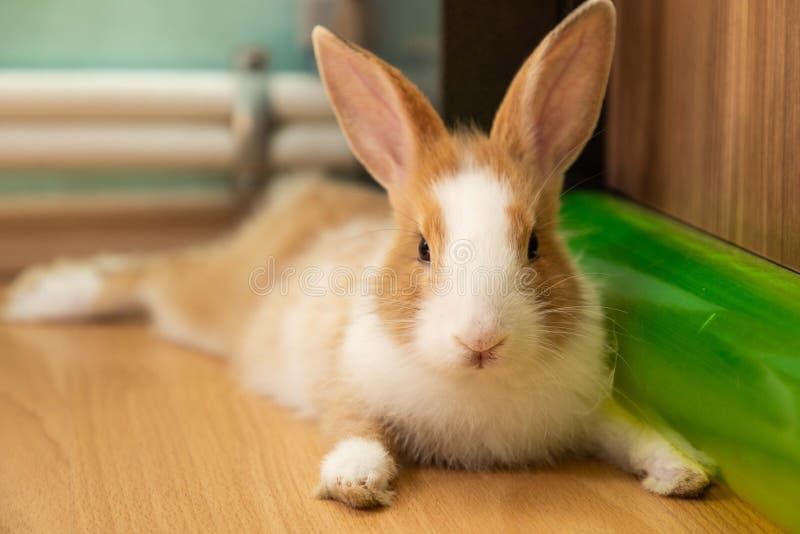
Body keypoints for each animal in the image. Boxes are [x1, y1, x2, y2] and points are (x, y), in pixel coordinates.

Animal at [2, 0, 710, 509]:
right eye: (422, 248)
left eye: (534, 244)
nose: (481, 341)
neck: (477, 389)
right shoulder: (346, 382)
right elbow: (356, 429)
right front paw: (353, 482)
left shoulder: (590, 404)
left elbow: (629, 430)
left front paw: (684, 473)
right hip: (202, 304)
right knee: (150, 273)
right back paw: (37, 296)